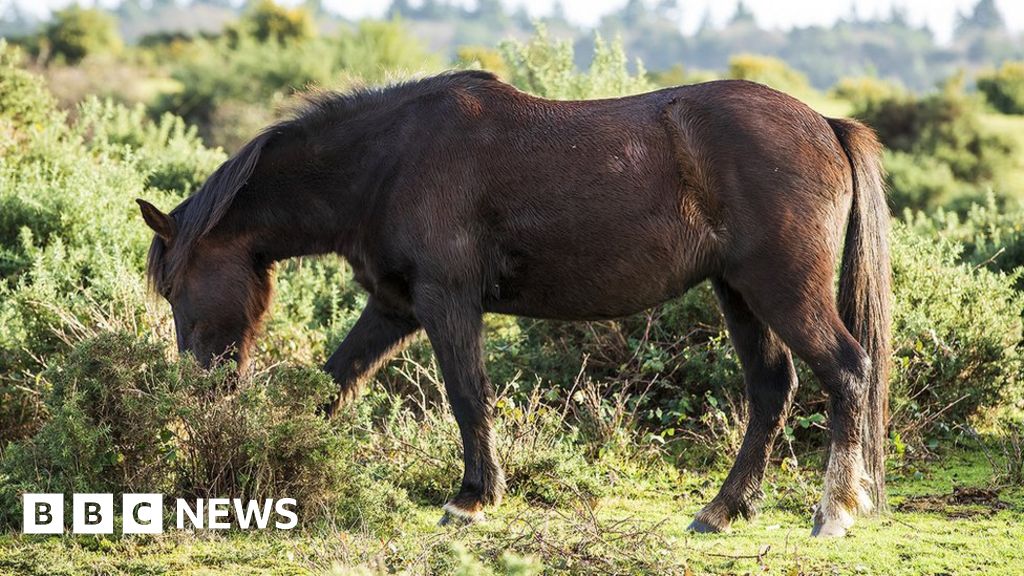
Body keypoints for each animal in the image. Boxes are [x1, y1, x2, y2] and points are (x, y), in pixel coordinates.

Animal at [138, 70, 891, 537]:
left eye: (173, 287)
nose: (200, 390)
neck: (388, 161)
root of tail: (825, 124)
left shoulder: (446, 302)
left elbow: (467, 393)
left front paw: (472, 498)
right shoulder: (395, 307)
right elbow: (335, 381)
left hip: (780, 290)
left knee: (847, 372)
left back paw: (833, 511)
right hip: (739, 294)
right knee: (771, 389)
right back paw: (723, 510)